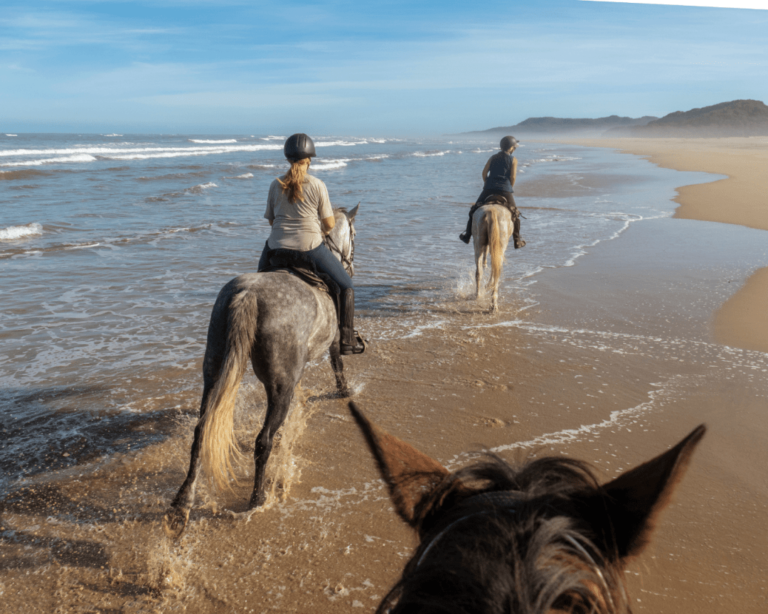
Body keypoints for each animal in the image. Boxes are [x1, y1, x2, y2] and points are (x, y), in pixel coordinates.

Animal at [163, 205, 359, 539]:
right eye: (355, 235)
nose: (351, 264)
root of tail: (248, 295)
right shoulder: (332, 343)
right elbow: (338, 365)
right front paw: (345, 390)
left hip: (214, 369)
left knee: (201, 433)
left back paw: (182, 504)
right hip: (280, 386)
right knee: (262, 440)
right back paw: (257, 498)